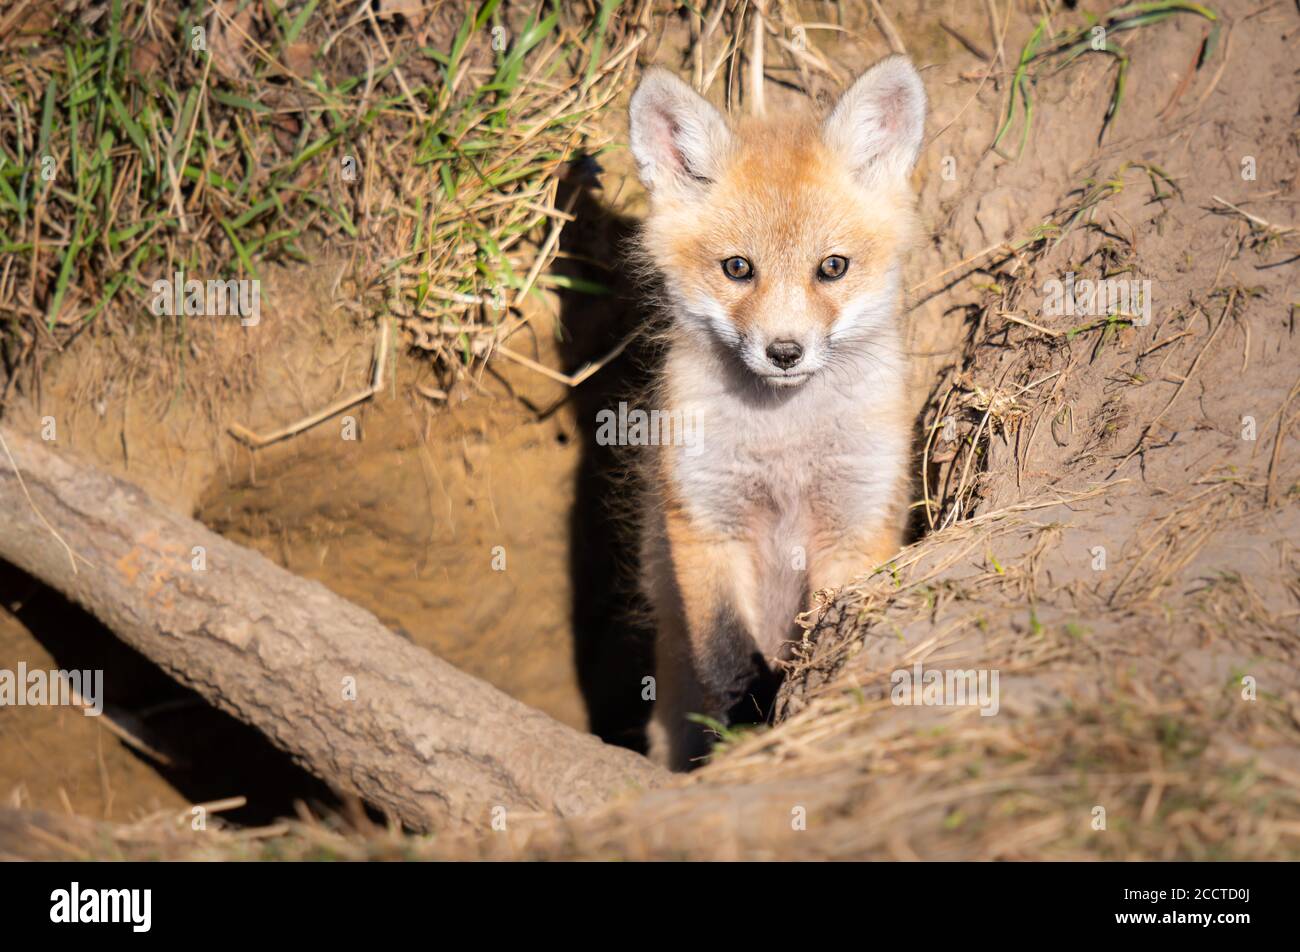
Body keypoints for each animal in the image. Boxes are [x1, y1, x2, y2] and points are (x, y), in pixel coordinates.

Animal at [628, 56, 926, 770]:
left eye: (832, 267)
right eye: (739, 268)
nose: (784, 352)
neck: (784, 448)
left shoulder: (856, 521)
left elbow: (831, 633)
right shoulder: (707, 522)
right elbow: (726, 657)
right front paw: (748, 717)